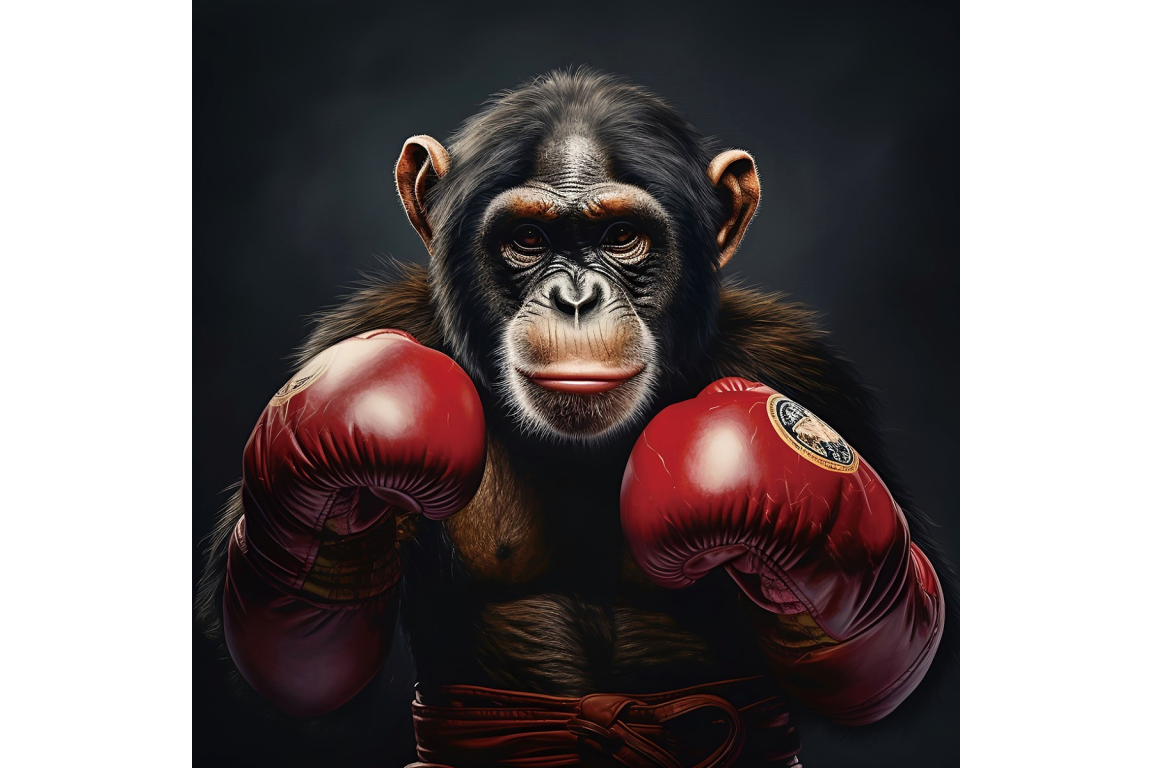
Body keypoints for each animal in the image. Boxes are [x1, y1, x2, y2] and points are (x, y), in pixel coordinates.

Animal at [196, 68, 958, 768]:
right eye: (528, 239)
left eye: (622, 235)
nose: (575, 297)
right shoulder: (355, 334)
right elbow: (302, 659)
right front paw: (344, 500)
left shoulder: (804, 374)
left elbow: (884, 657)